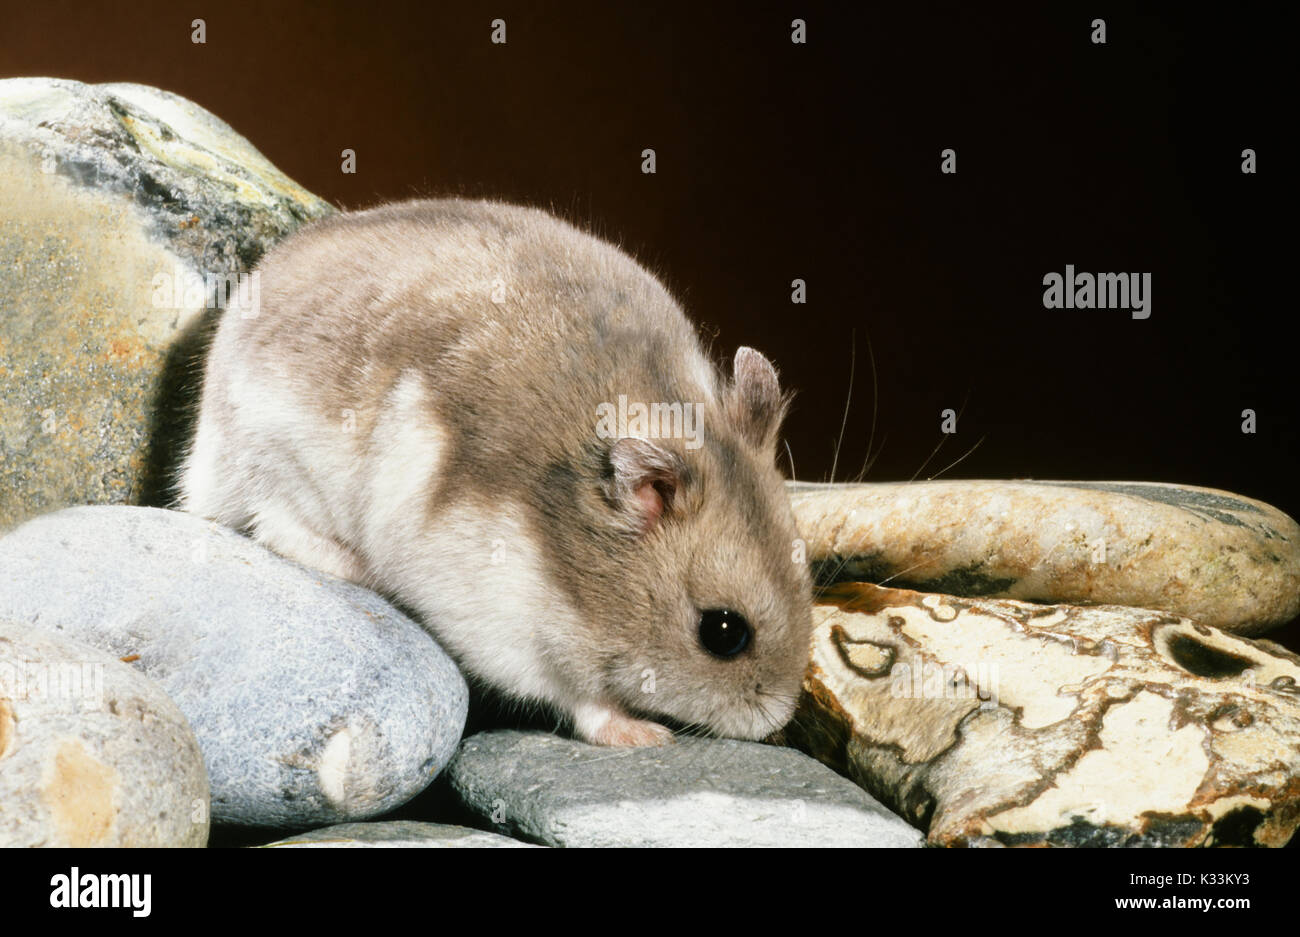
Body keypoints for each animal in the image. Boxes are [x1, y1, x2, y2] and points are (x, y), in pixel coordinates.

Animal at [179, 198, 812, 747]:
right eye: (723, 633)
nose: (777, 720)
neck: (574, 572)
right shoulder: (506, 628)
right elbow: (582, 699)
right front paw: (646, 737)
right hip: (274, 462)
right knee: (274, 526)